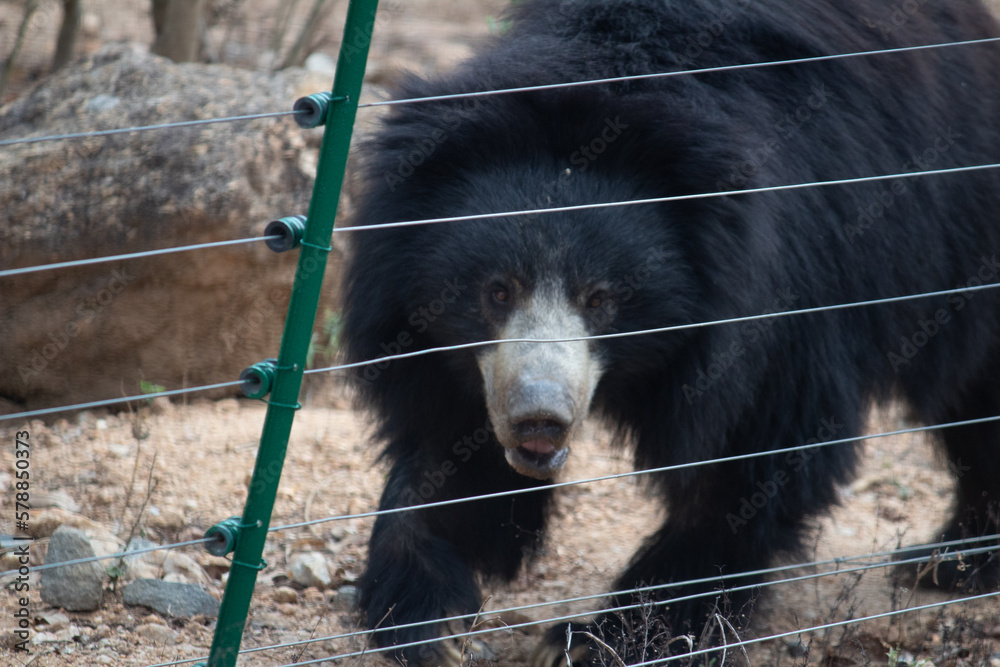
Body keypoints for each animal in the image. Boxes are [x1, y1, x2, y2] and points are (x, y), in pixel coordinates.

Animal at [339, 0, 1000, 664]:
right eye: (497, 291)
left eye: (600, 298)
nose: (539, 420)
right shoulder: (441, 342)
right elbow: (448, 445)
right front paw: (426, 618)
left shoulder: (792, 286)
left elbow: (754, 451)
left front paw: (605, 638)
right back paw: (953, 560)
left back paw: (951, 561)